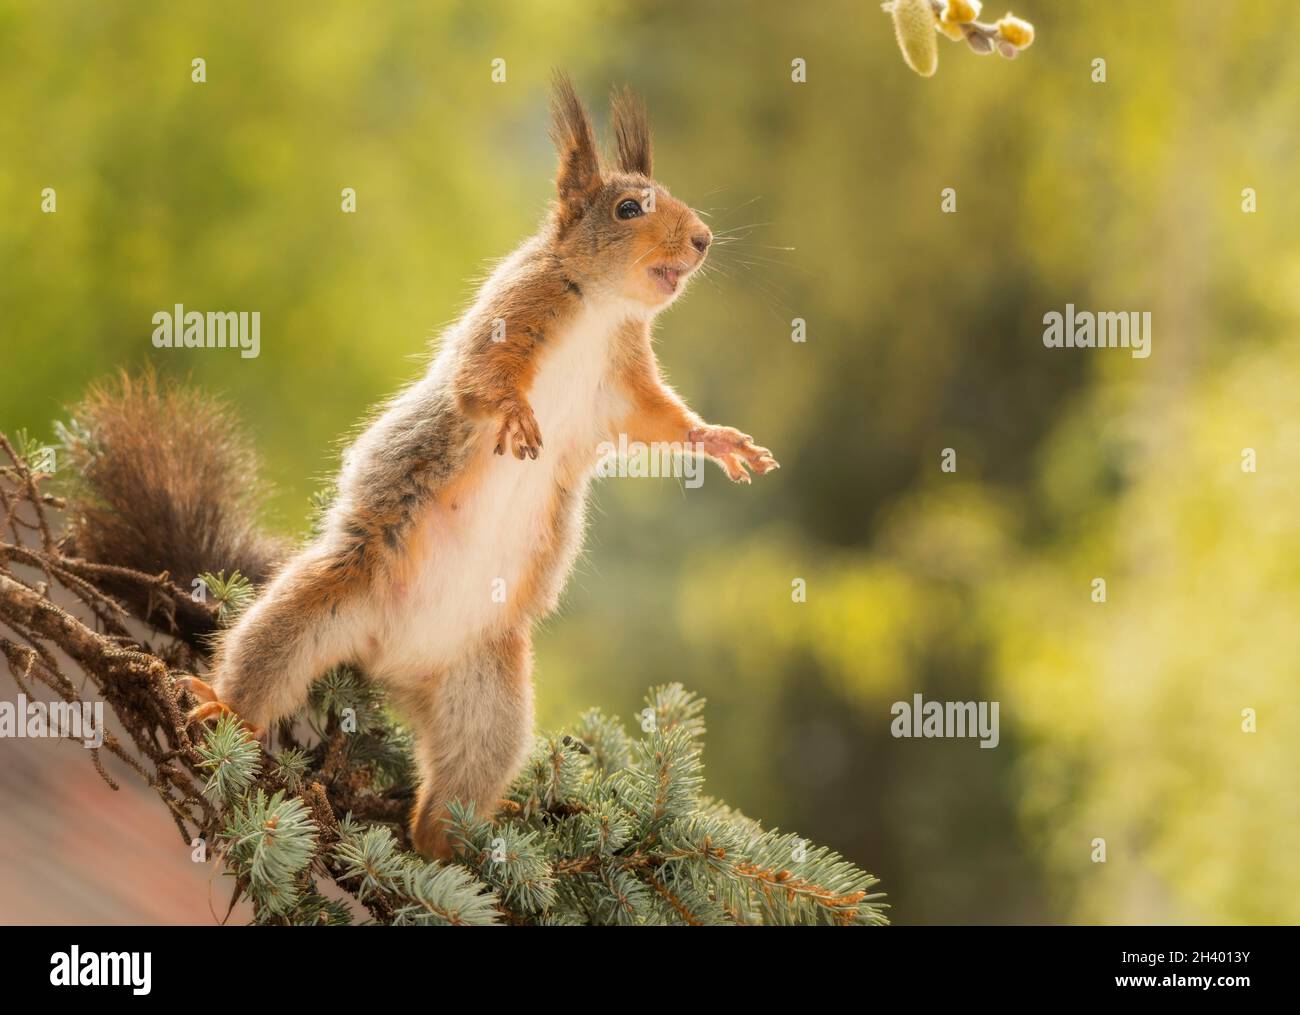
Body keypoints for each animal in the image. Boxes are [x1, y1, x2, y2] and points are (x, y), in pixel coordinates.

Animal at [63, 74, 778, 860]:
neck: (600, 308)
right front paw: (514, 414)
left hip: (488, 701)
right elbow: (482, 379)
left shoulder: (624, 384)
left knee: (456, 786)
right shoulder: (511, 314)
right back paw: (224, 708)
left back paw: (457, 846)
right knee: (262, 661)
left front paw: (720, 440)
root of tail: (389, 665)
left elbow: (661, 422)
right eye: (629, 208)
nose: (703, 240)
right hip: (325, 601)